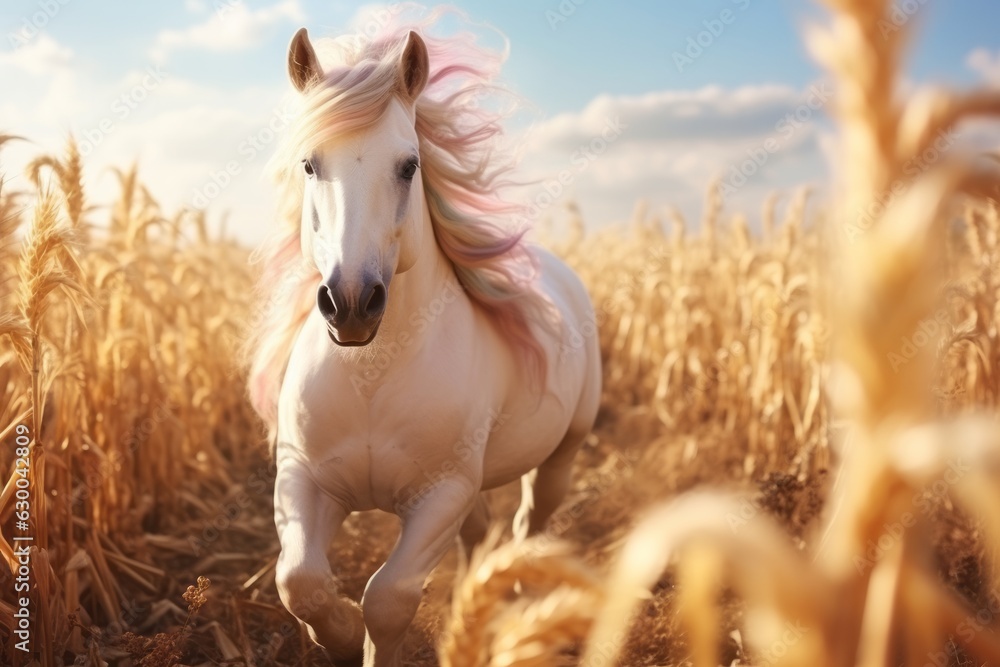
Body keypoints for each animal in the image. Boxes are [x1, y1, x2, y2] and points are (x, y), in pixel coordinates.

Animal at [246, 15, 601, 667]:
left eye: (409, 165)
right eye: (309, 165)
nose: (352, 303)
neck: (372, 376)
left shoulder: (440, 496)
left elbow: (388, 599)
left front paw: (358, 634)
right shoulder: (303, 479)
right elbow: (299, 581)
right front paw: (336, 634)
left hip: (561, 456)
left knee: (527, 525)